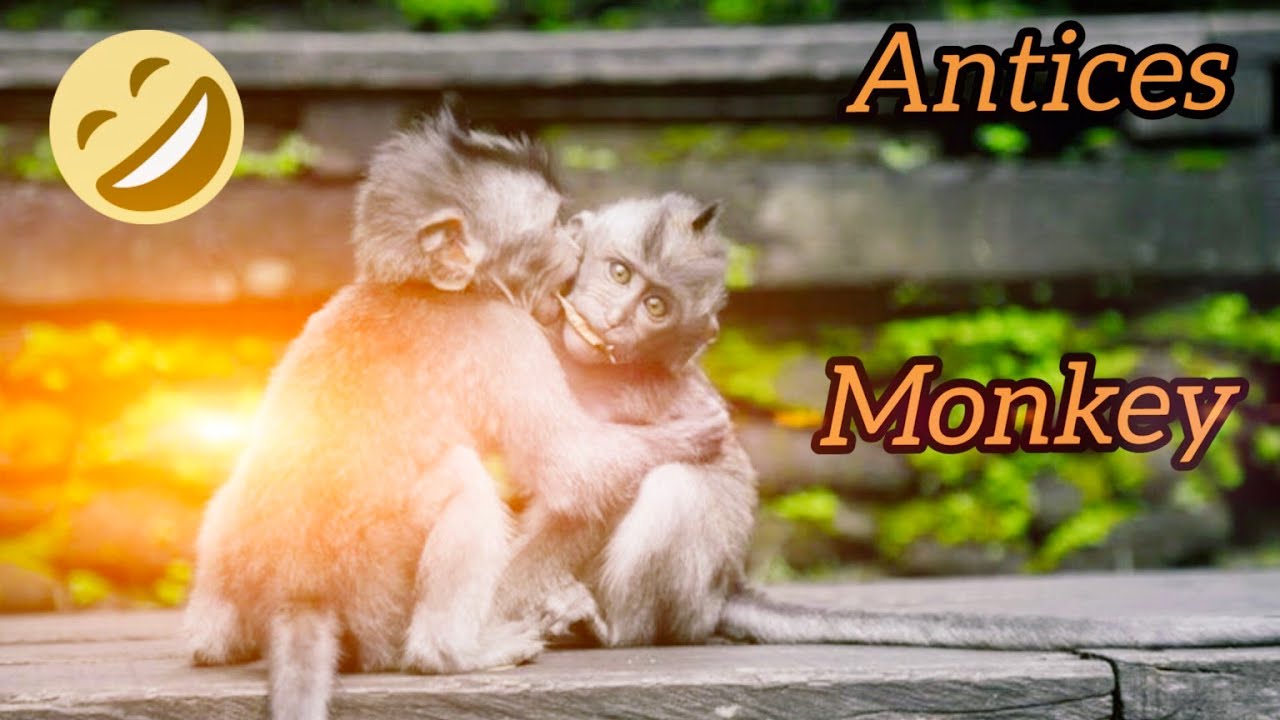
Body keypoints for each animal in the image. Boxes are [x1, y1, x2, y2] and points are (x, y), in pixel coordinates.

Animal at [182, 111, 729, 720]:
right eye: (552, 226)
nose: (573, 240)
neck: (420, 286)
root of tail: (299, 593)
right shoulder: (504, 333)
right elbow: (572, 469)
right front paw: (693, 431)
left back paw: (211, 640)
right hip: (379, 595)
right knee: (464, 485)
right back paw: (454, 652)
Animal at [495, 192, 1280, 653]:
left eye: (657, 307)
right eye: (620, 274)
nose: (618, 321)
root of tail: (726, 585)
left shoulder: (641, 394)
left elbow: (596, 482)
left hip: (687, 592)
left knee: (675, 488)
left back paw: (610, 629)